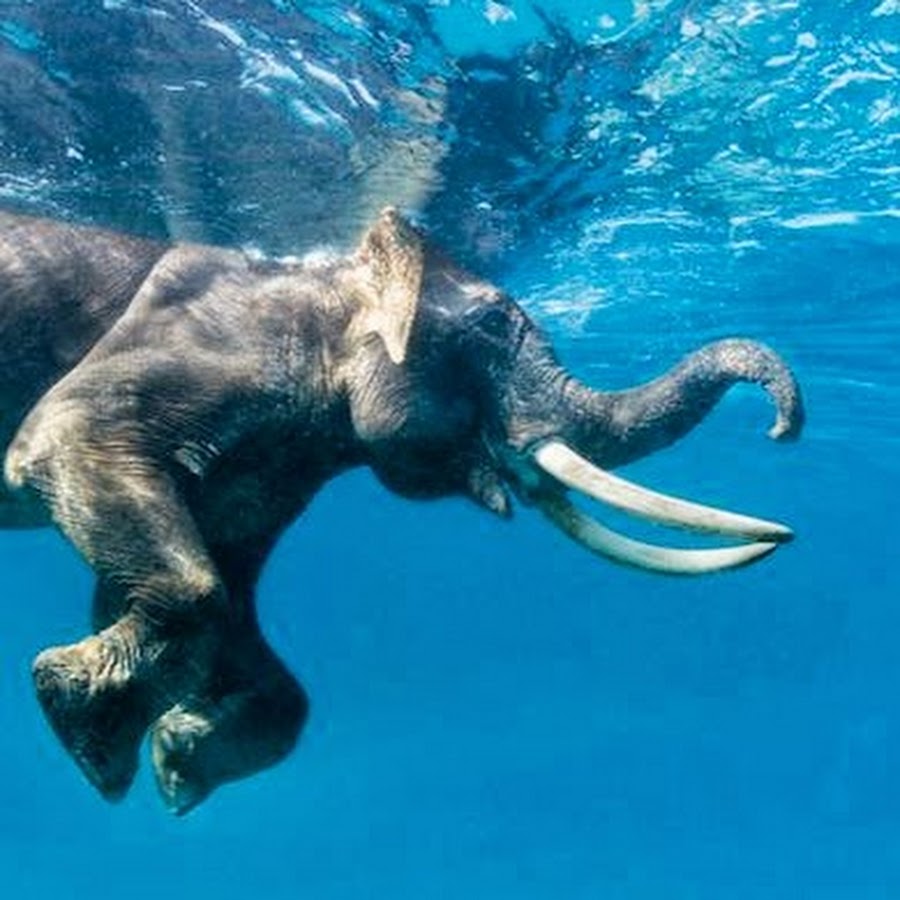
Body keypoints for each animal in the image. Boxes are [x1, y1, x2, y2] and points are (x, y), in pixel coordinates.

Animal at [0, 206, 803, 814]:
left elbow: (220, 595)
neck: (335, 281)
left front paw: (175, 761)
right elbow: (60, 445)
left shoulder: (270, 468)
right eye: (490, 325)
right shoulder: (201, 350)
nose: (781, 428)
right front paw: (85, 730)